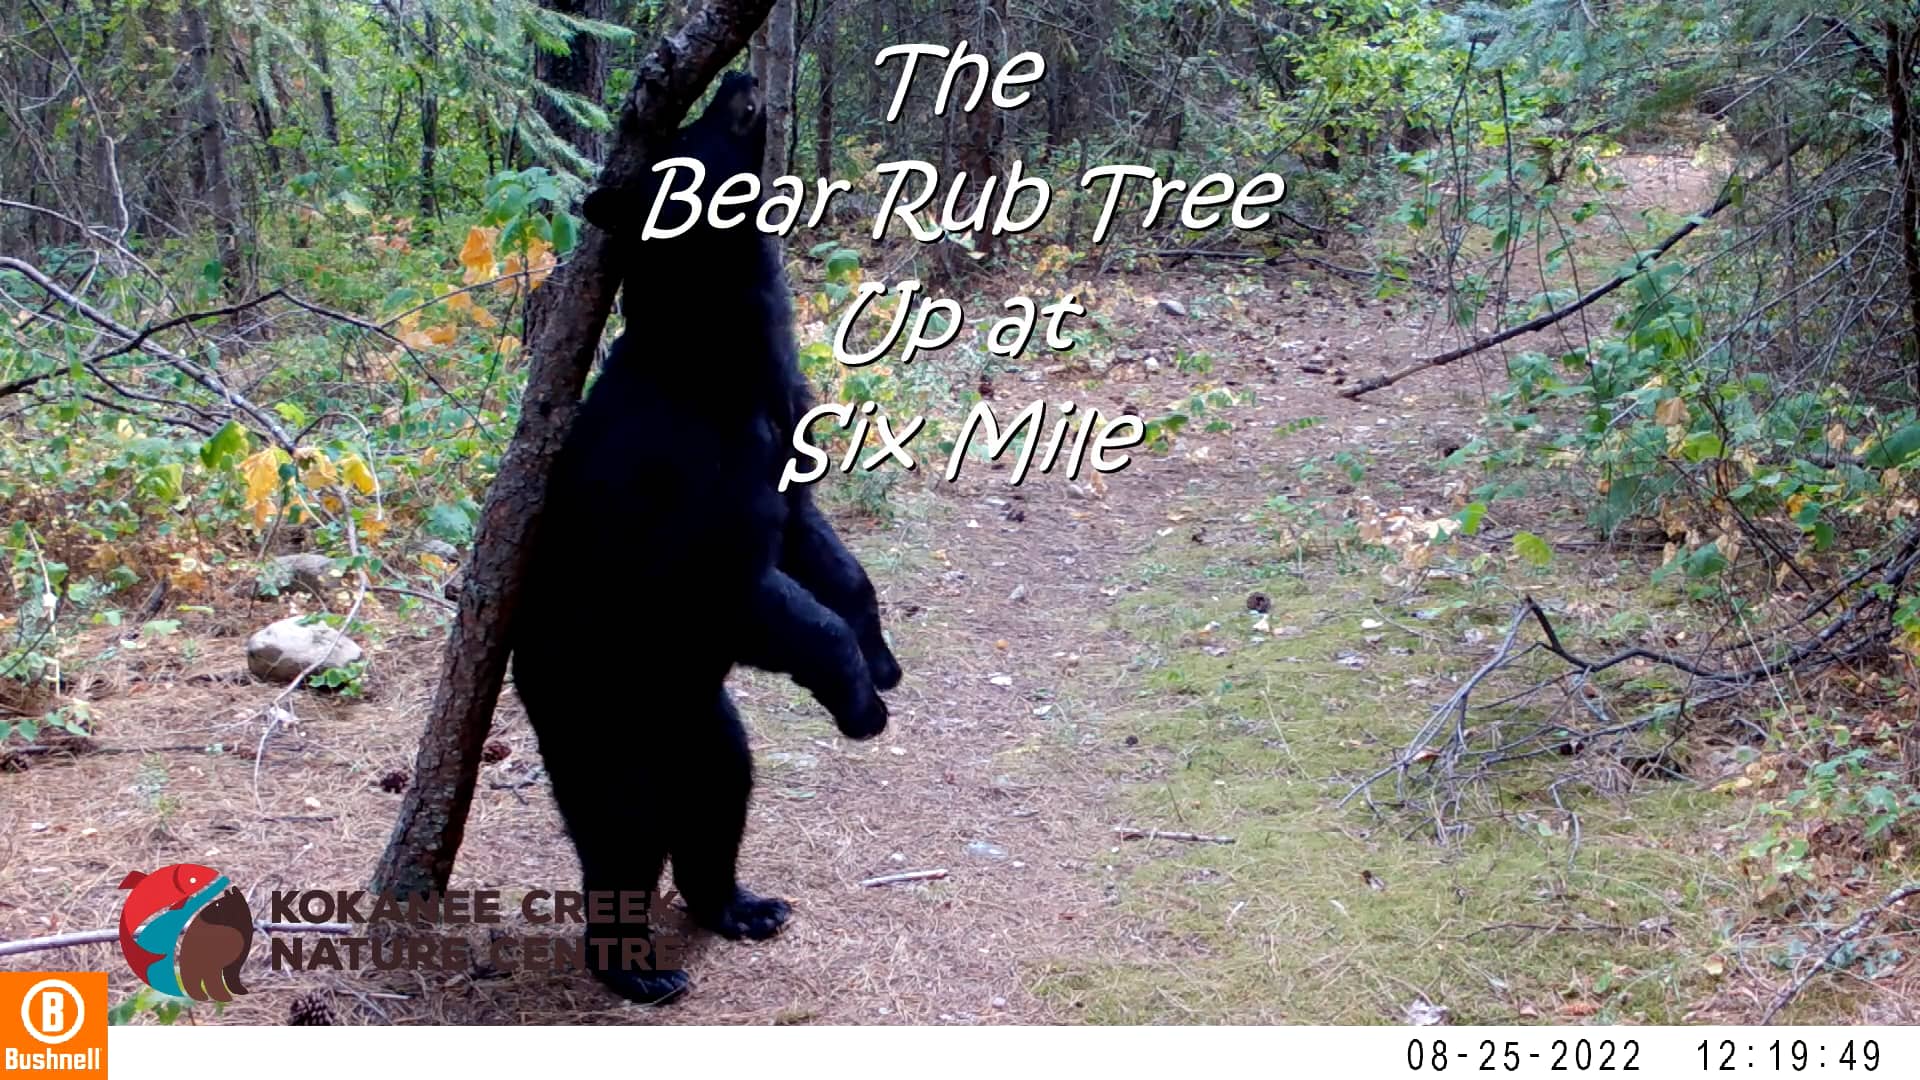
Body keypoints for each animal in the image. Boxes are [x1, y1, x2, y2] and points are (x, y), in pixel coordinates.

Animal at [510, 70, 899, 1006]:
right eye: (690, 136)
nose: (739, 77)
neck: (723, 355)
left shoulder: (783, 452)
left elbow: (831, 559)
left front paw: (884, 661)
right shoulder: (694, 510)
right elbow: (762, 597)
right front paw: (860, 702)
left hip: (704, 724)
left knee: (719, 804)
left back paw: (743, 905)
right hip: (596, 716)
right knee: (620, 835)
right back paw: (636, 968)